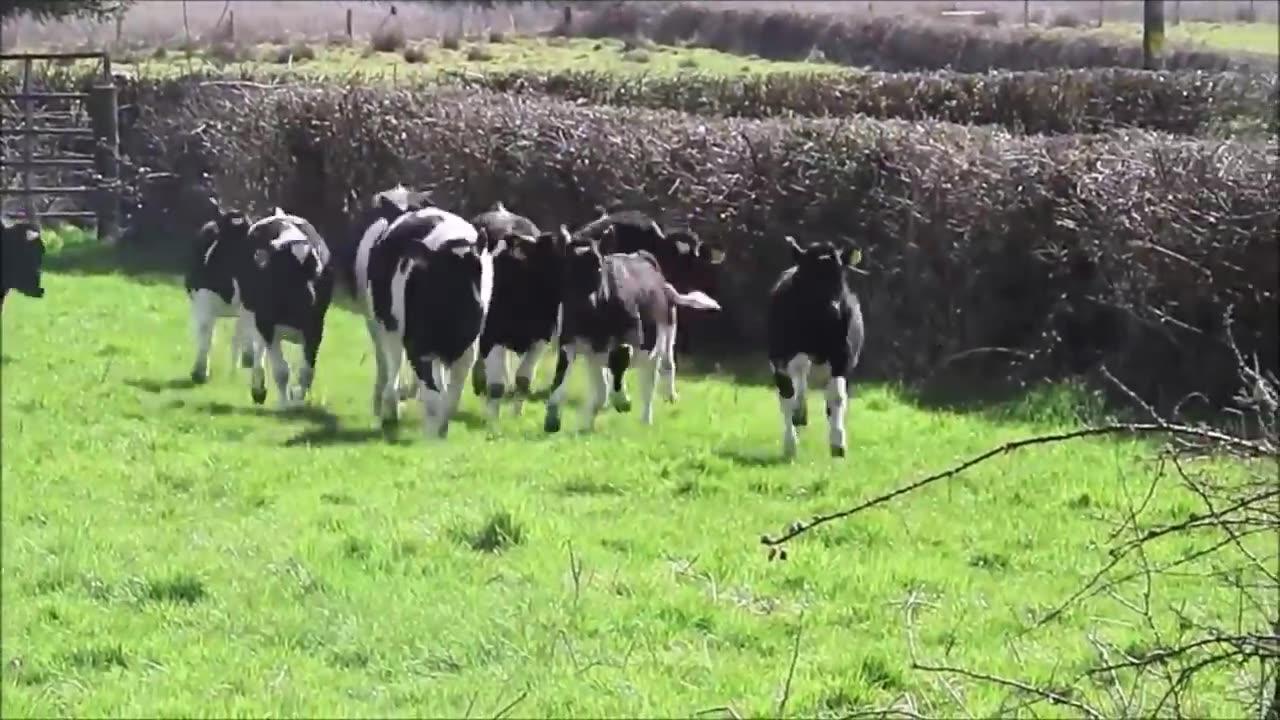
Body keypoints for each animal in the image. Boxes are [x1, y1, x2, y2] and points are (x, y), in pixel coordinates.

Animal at [238, 208, 335, 409]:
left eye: (315, 268)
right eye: (285, 270)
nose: (309, 296)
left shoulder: (316, 327)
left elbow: (306, 371)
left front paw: (298, 402)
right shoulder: (266, 323)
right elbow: (281, 371)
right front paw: (284, 404)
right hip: (249, 310)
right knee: (257, 347)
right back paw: (258, 388)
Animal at [353, 203, 492, 438]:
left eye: (479, 270)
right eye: (445, 275)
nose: (477, 309)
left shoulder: (467, 351)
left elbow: (451, 397)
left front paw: (441, 429)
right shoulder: (417, 347)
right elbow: (433, 395)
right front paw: (431, 434)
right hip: (385, 327)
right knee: (392, 364)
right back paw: (390, 408)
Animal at [469, 202, 566, 420]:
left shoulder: (540, 338)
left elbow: (523, 379)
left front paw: (516, 416)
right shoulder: (490, 336)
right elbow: (496, 386)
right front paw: (493, 420)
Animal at [544, 233, 722, 434]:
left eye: (598, 267)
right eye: (565, 270)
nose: (581, 306)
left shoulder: (632, 337)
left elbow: (620, 357)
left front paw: (623, 400)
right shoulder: (569, 340)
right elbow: (561, 377)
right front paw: (552, 418)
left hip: (665, 335)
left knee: (660, 372)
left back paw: (651, 413)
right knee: (602, 387)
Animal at [767, 236, 867, 459]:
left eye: (841, 275)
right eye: (807, 275)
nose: (833, 309)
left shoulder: (842, 357)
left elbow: (836, 397)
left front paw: (838, 444)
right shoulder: (782, 358)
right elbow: (788, 395)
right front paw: (790, 444)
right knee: (795, 387)